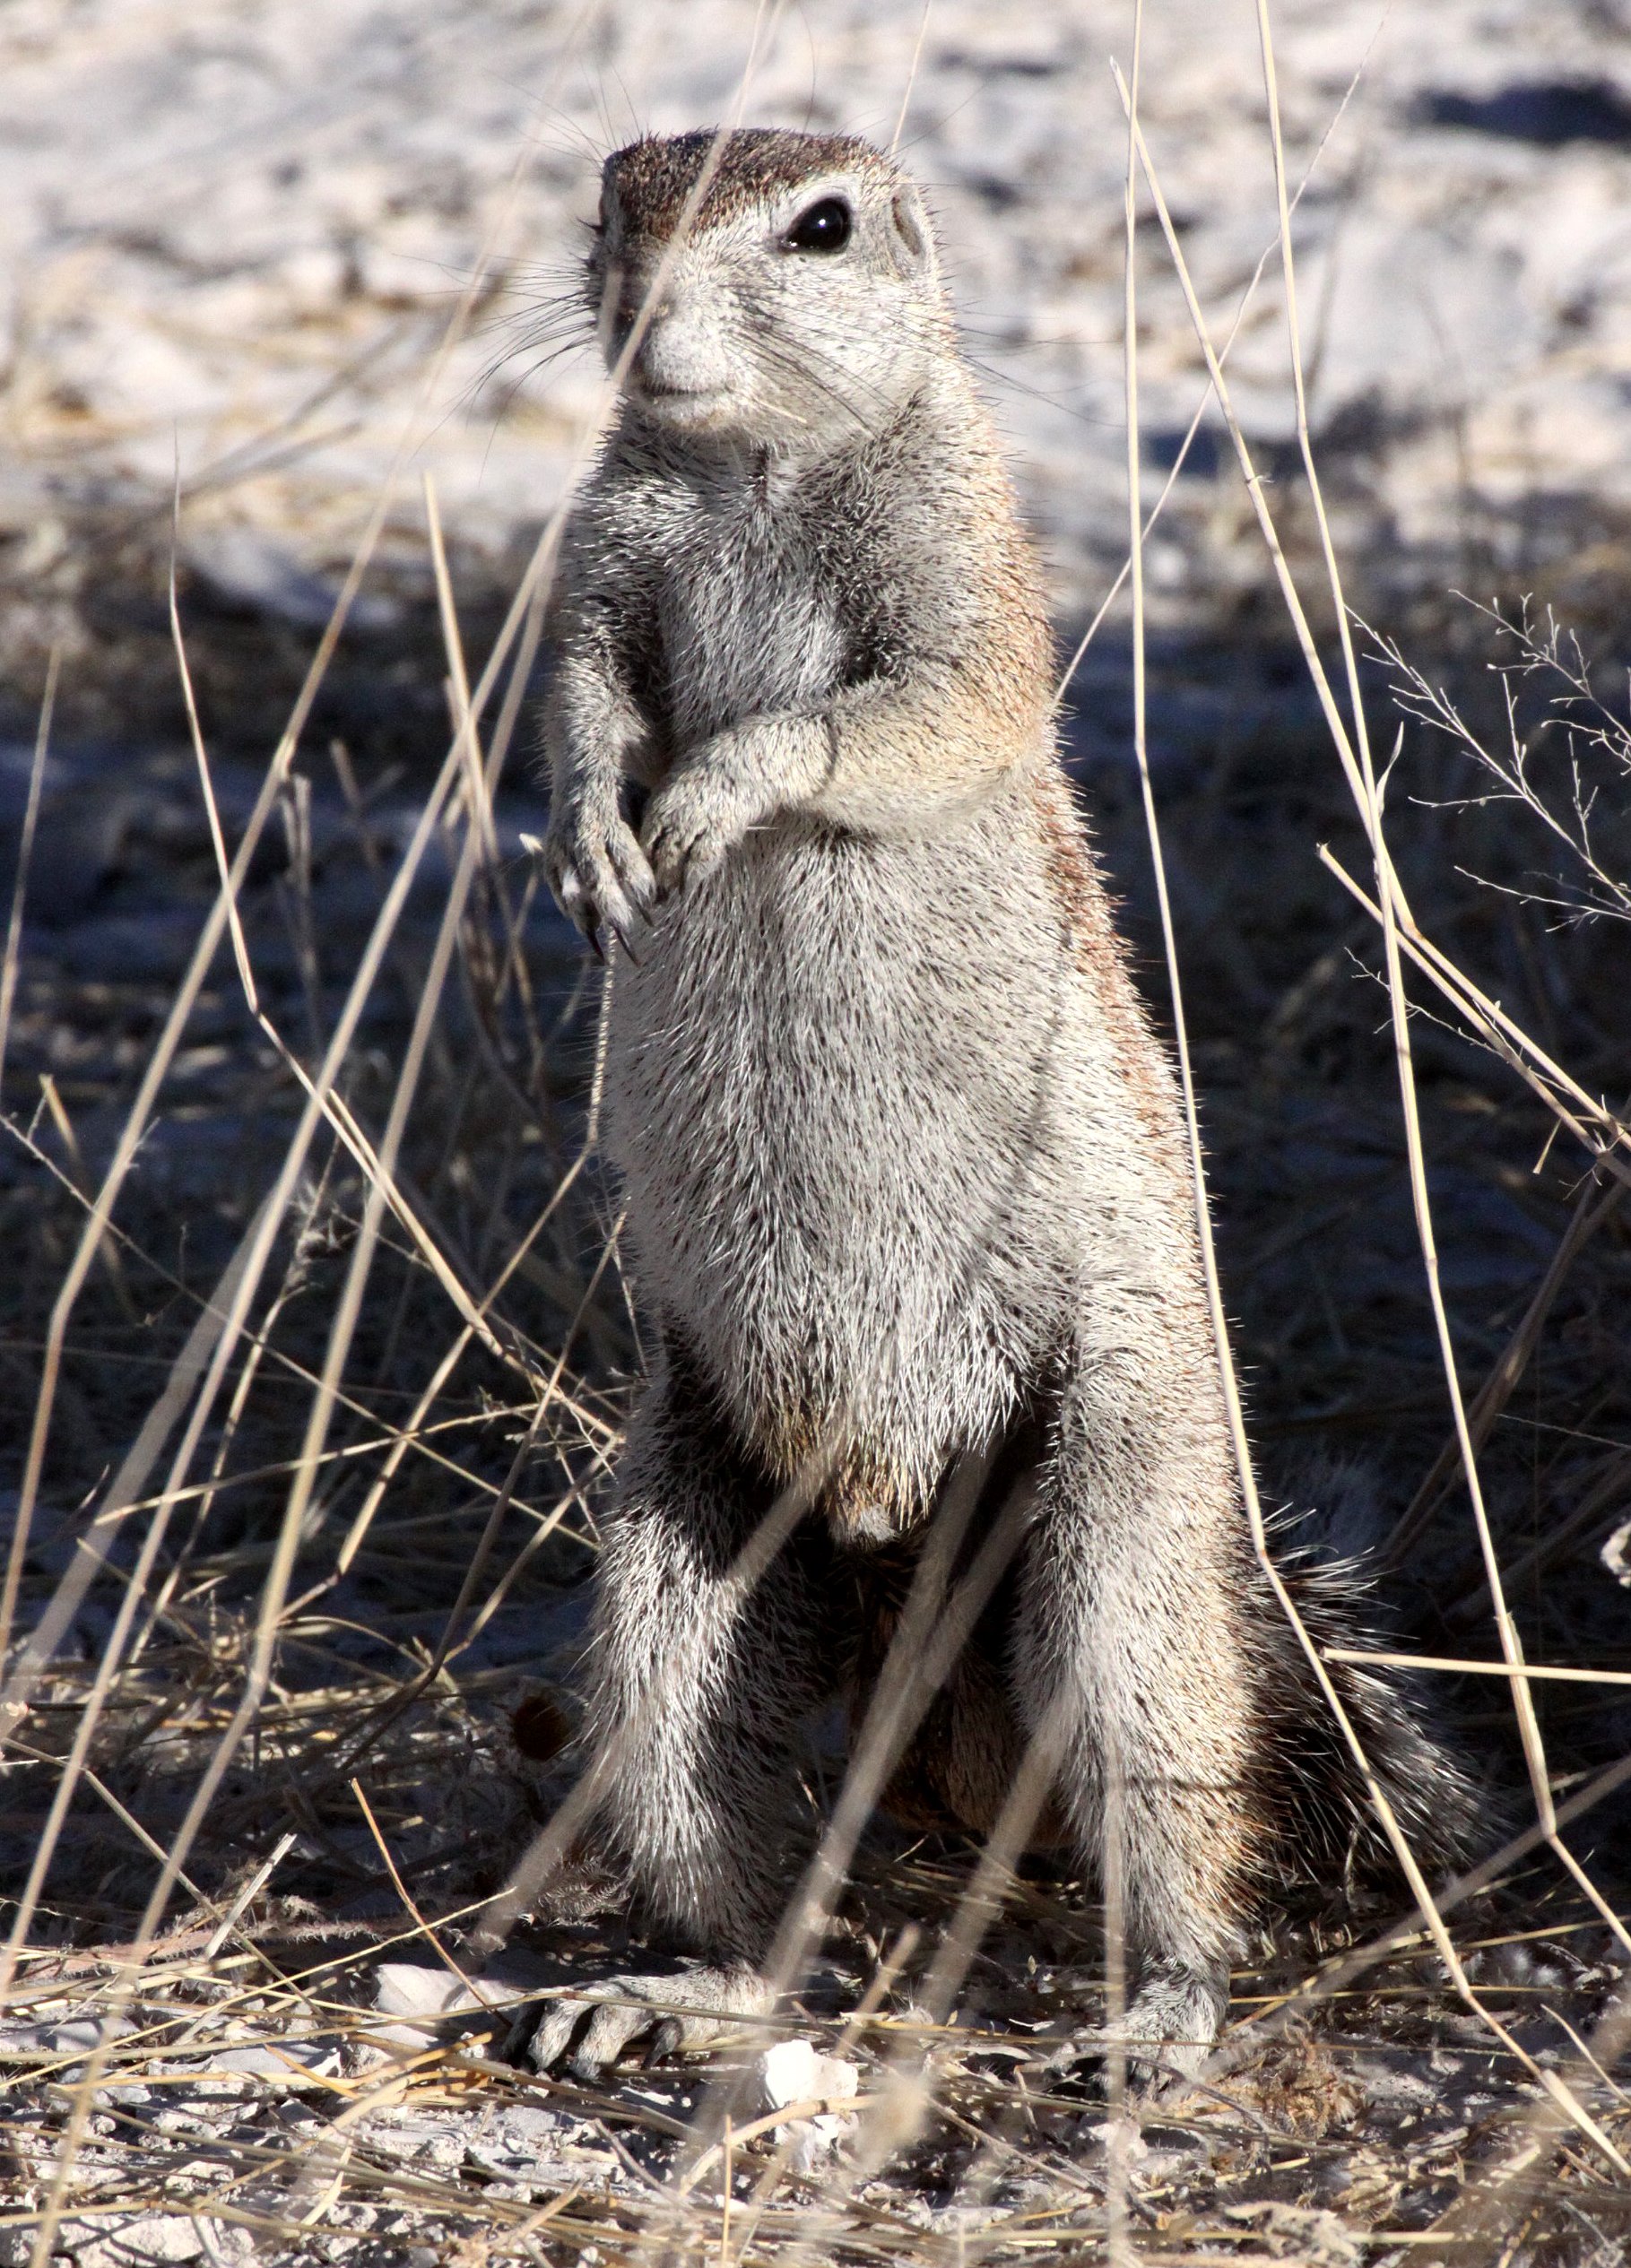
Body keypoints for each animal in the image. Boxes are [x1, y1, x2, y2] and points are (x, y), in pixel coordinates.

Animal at [529, 126, 1482, 2089]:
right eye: (615, 195)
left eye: (818, 225)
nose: (642, 305)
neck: (749, 466)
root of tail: (895, 1534)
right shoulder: (595, 560)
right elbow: (578, 698)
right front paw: (592, 833)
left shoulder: (963, 587)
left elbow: (886, 716)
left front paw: (715, 793)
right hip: (673, 1569)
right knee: (735, 1835)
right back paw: (671, 1984)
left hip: (1112, 1535)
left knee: (1177, 1804)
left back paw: (1161, 2016)